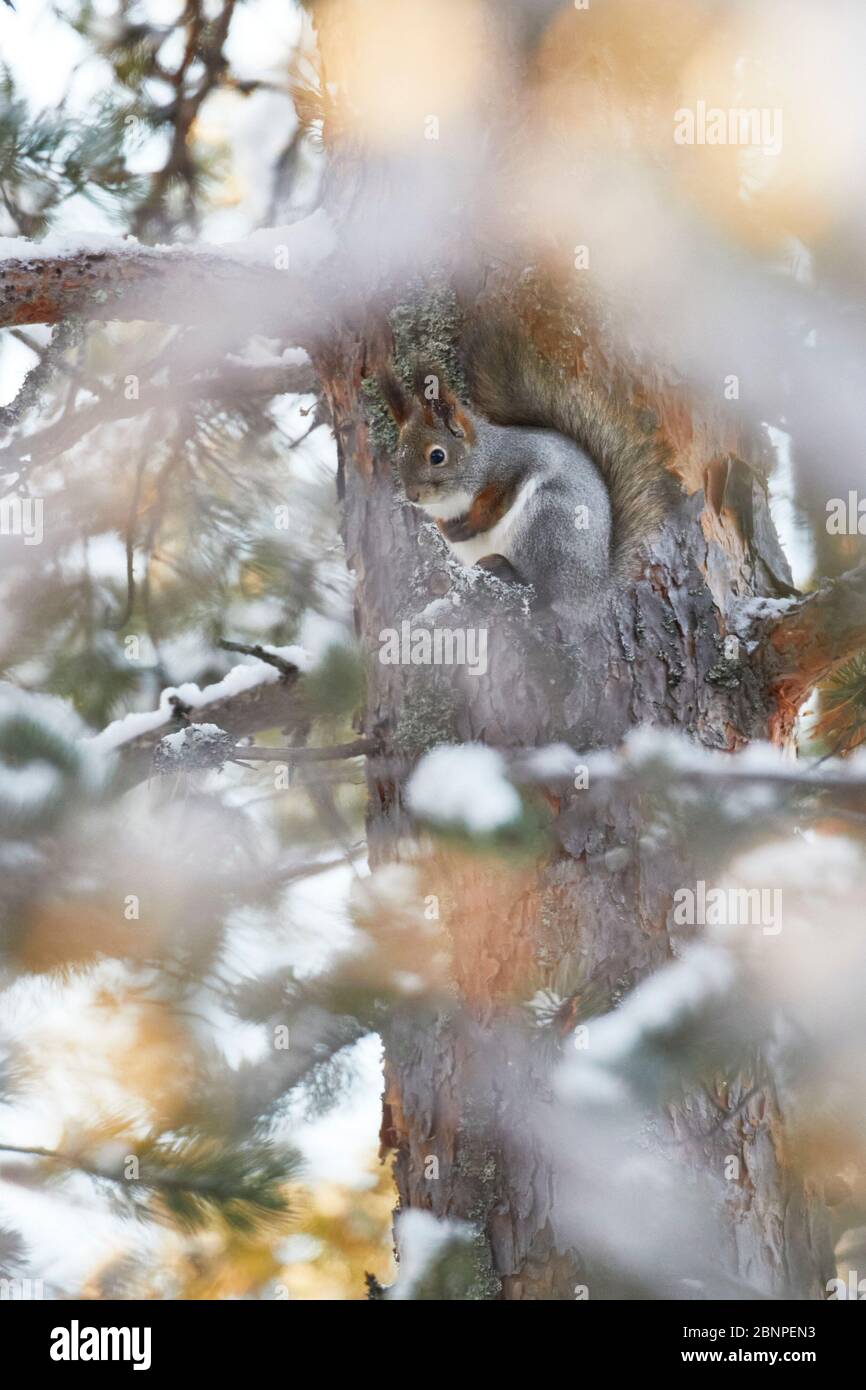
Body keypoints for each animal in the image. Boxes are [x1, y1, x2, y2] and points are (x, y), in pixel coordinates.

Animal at [378, 318, 675, 614]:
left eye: (437, 456)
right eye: (398, 456)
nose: (413, 496)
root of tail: (592, 590)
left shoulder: (516, 464)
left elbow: (493, 504)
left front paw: (468, 525)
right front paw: (448, 529)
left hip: (544, 522)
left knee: (544, 593)